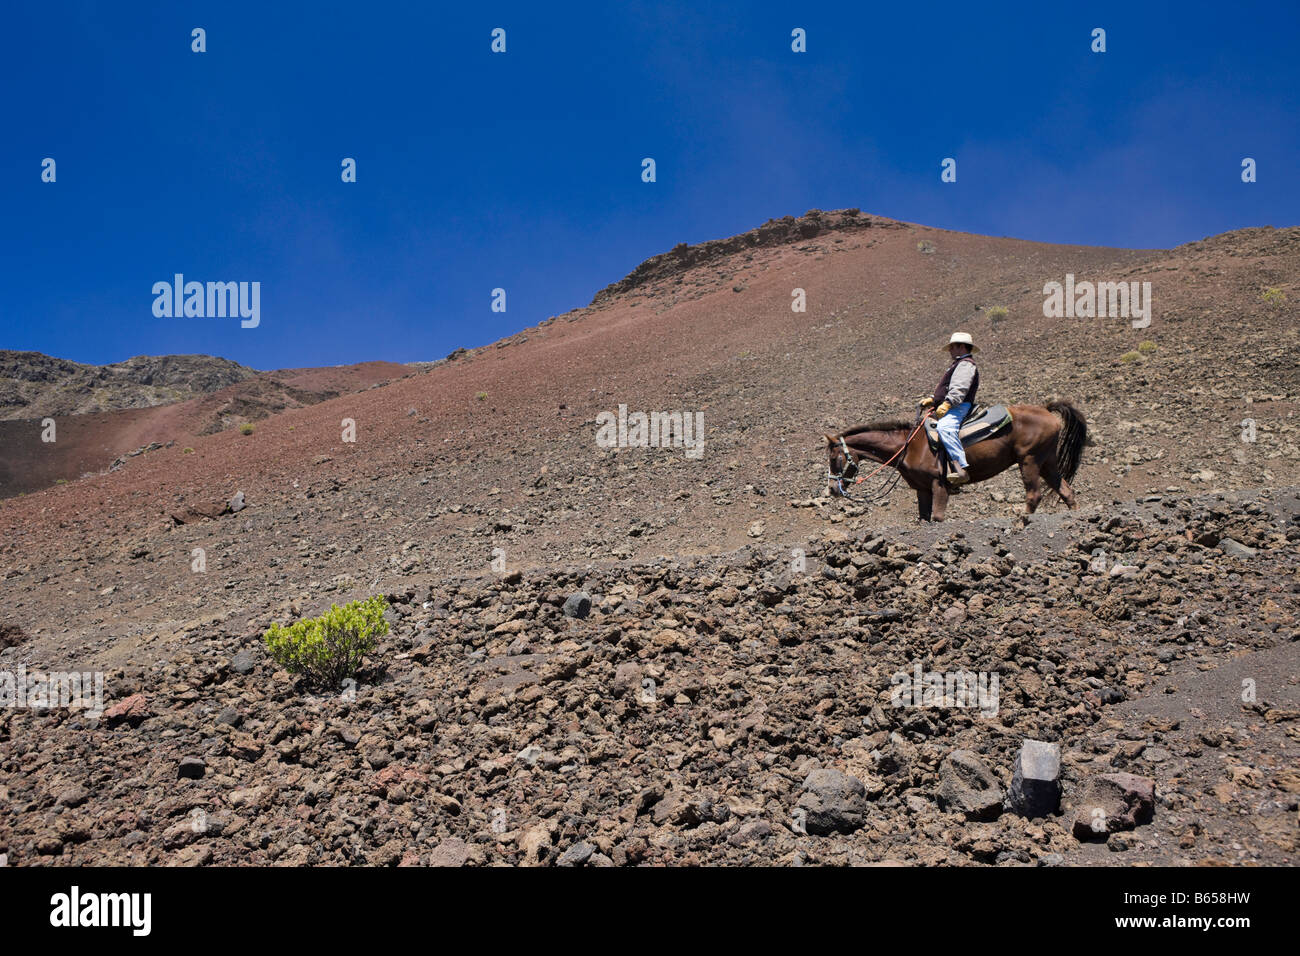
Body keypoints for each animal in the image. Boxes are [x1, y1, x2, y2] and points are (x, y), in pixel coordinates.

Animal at [824, 400, 1087, 521]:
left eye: (834, 457)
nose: (832, 489)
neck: (909, 446)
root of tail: (1048, 410)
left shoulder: (939, 485)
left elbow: (938, 517)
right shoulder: (922, 489)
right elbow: (924, 518)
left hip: (1029, 460)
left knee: (1034, 495)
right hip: (1047, 462)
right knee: (1066, 491)